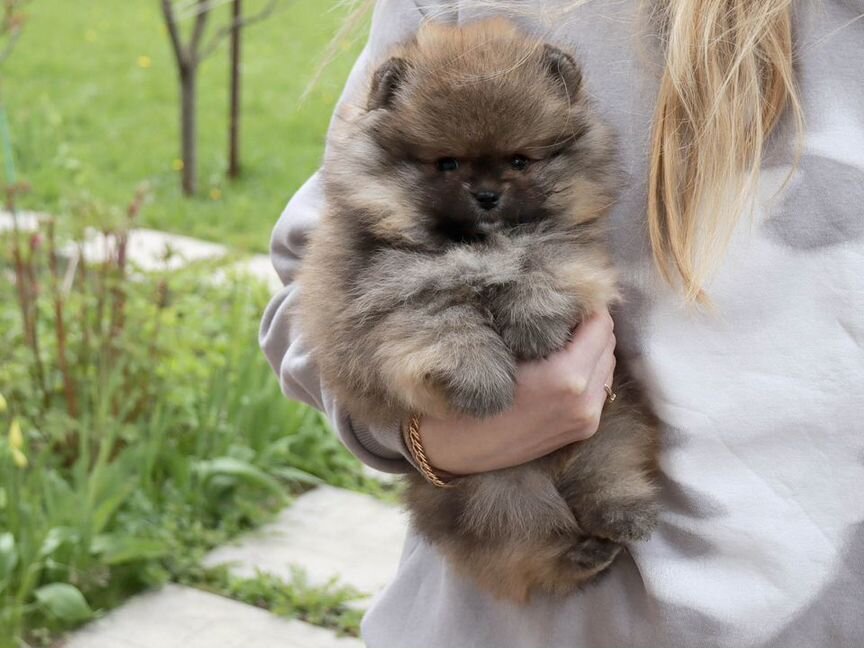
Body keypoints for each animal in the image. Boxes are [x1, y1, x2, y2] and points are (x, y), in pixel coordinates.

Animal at [300, 16, 660, 604]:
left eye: (519, 160)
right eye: (447, 163)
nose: (488, 194)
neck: (476, 245)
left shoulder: (571, 245)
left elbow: (546, 263)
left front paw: (536, 322)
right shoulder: (380, 292)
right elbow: (440, 322)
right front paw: (482, 379)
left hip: (611, 425)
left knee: (610, 471)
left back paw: (623, 515)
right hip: (499, 490)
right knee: (525, 546)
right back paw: (580, 554)